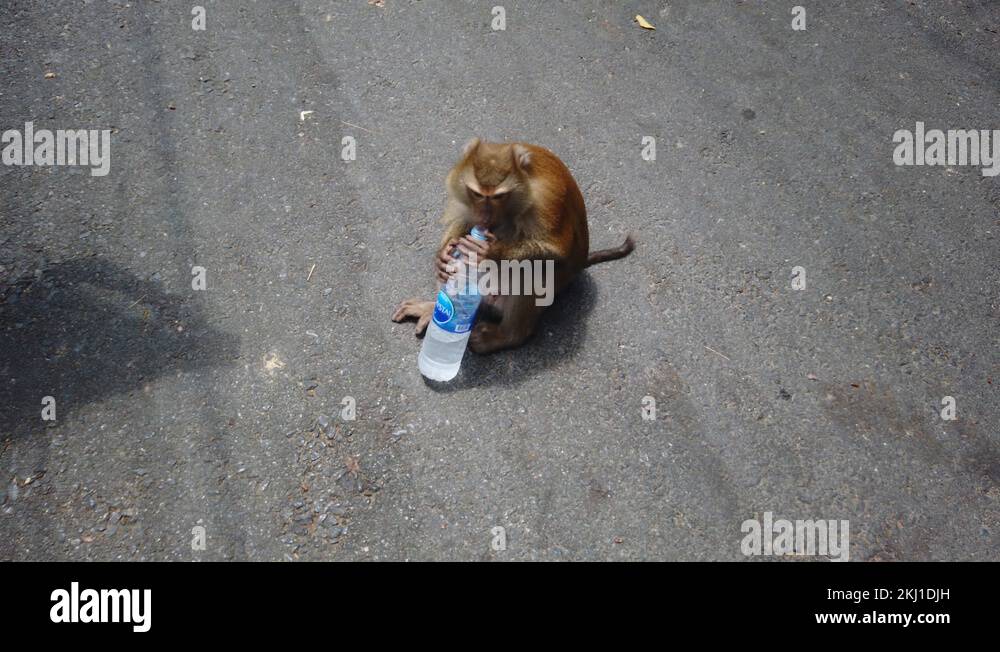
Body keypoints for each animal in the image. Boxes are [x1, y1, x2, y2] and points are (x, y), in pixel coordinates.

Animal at [392, 139, 634, 354]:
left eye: (499, 196)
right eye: (477, 194)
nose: (486, 216)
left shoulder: (546, 201)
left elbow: (558, 252)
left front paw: (490, 251)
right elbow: (464, 222)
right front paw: (443, 253)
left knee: (530, 271)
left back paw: (509, 336)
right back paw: (435, 305)